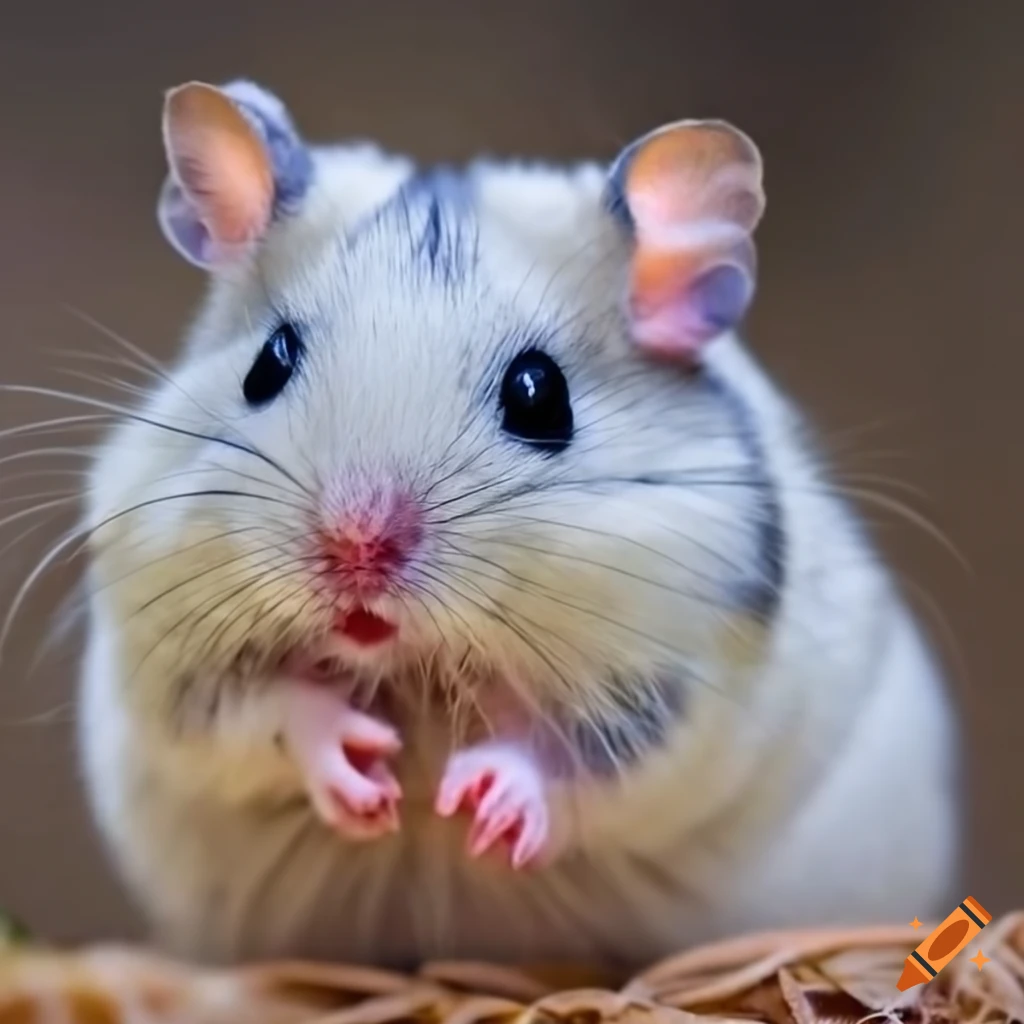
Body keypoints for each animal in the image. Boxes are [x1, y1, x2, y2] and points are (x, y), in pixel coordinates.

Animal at [76, 79, 958, 969]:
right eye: (267, 365)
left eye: (540, 395)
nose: (356, 549)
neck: (415, 675)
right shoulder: (167, 657)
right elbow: (264, 713)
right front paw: (371, 779)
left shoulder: (678, 679)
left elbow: (580, 763)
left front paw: (480, 801)